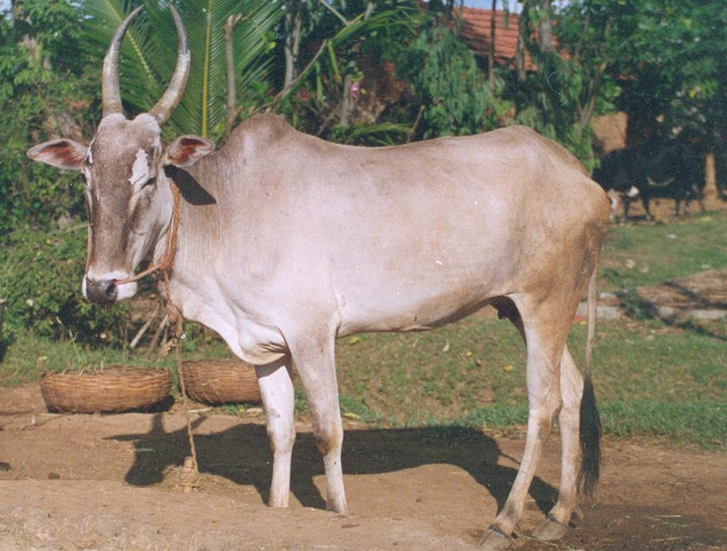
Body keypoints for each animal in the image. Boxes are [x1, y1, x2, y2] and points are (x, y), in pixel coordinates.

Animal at [26, 7, 610, 550]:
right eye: (86, 175)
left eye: (148, 176)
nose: (102, 285)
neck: (226, 204)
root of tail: (579, 174)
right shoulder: (264, 345)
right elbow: (280, 432)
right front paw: (280, 509)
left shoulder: (312, 335)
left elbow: (328, 432)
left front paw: (337, 513)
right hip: (521, 310)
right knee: (573, 391)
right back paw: (559, 515)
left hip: (544, 305)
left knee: (543, 403)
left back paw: (505, 521)